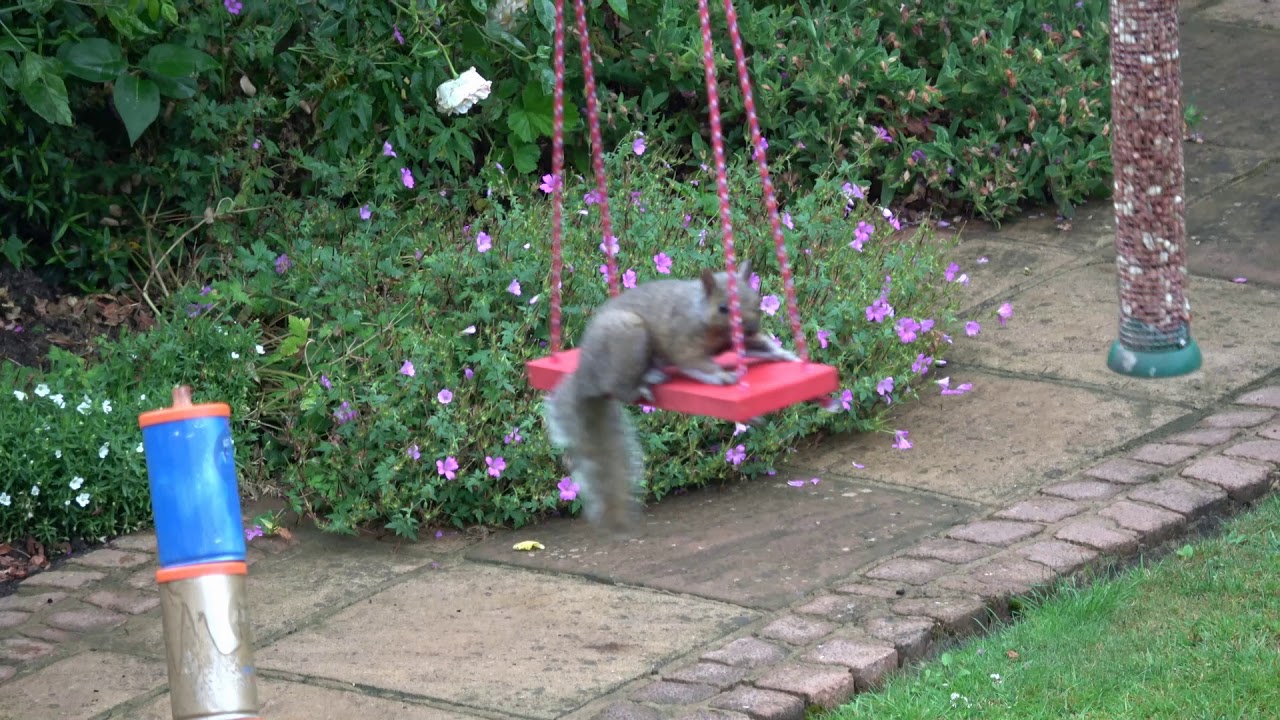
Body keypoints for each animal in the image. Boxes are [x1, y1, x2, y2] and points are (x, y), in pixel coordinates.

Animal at [542, 260, 801, 532]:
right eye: (723, 308)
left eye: (757, 299)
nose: (751, 328)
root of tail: (586, 375)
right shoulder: (683, 343)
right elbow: (695, 363)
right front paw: (721, 376)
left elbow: (756, 346)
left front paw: (783, 354)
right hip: (628, 339)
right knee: (620, 387)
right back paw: (645, 382)